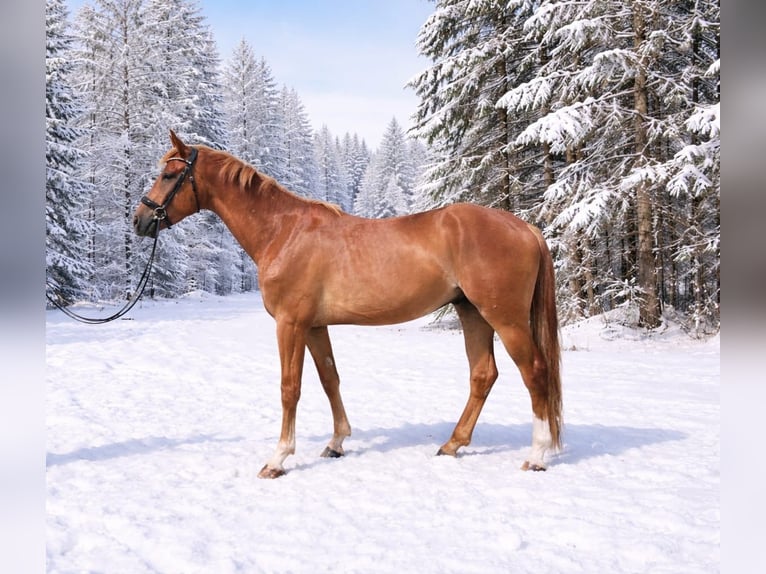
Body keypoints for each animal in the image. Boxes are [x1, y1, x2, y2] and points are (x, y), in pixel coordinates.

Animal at [133, 130, 563, 478]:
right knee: (483, 375)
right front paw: (337, 442)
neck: (284, 231)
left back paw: (537, 454)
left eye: (169, 175)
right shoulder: (314, 325)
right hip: (472, 312)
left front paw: (278, 459)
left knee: (535, 371)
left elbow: (290, 387)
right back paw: (452, 444)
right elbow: (329, 378)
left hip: (505, 318)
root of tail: (524, 227)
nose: (140, 220)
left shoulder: (290, 323)